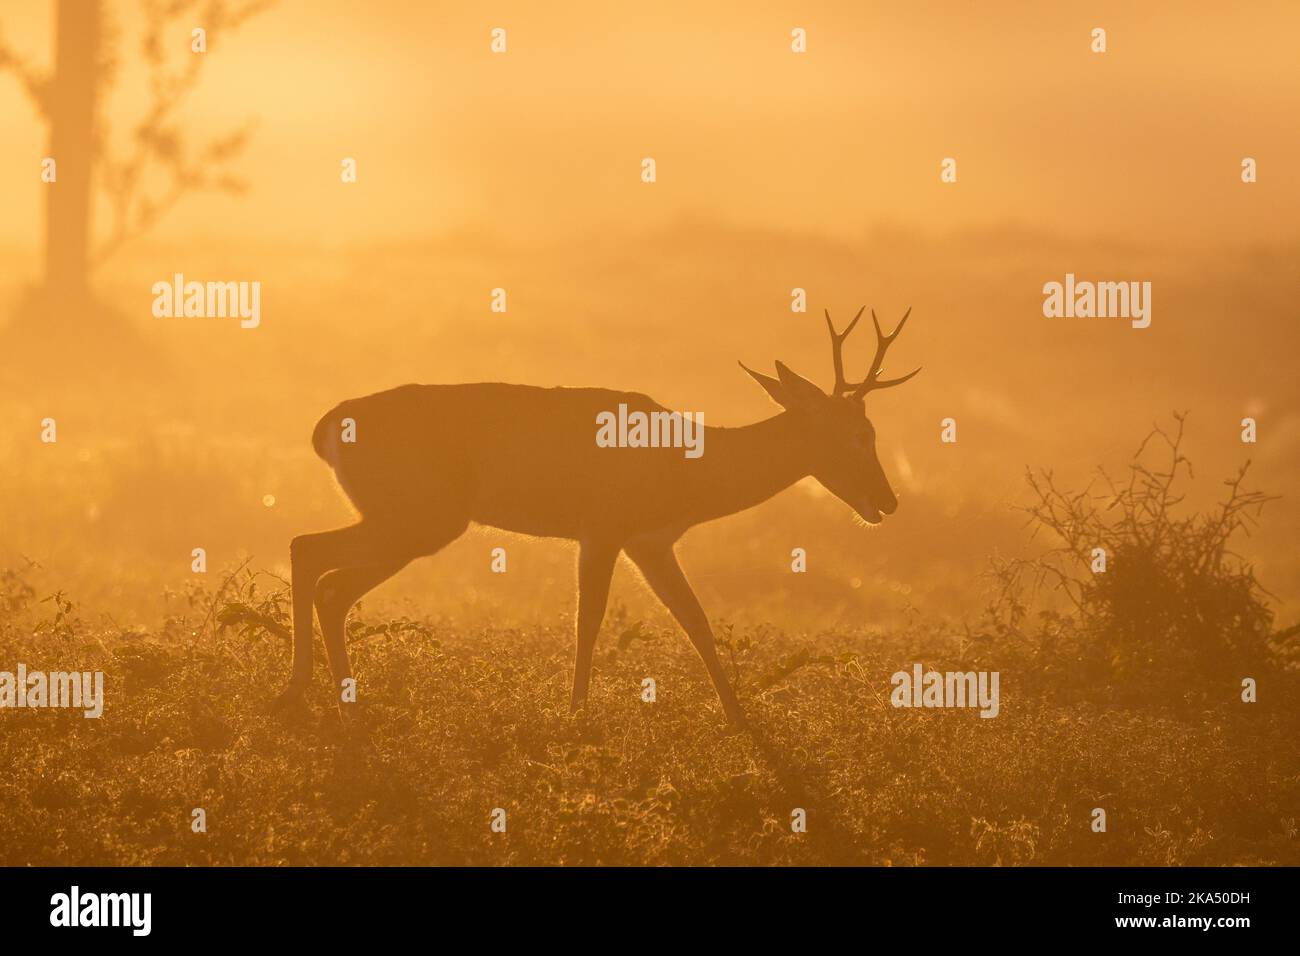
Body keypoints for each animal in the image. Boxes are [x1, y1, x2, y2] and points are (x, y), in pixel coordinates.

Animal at [277, 306, 920, 727]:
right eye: (861, 435)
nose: (888, 502)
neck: (687, 467)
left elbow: (696, 621)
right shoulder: (603, 529)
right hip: (419, 516)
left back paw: (325, 696)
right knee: (315, 558)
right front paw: (577, 713)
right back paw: (311, 692)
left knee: (321, 569)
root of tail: (324, 428)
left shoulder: (650, 542)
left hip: (409, 519)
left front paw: (741, 720)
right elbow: (589, 621)